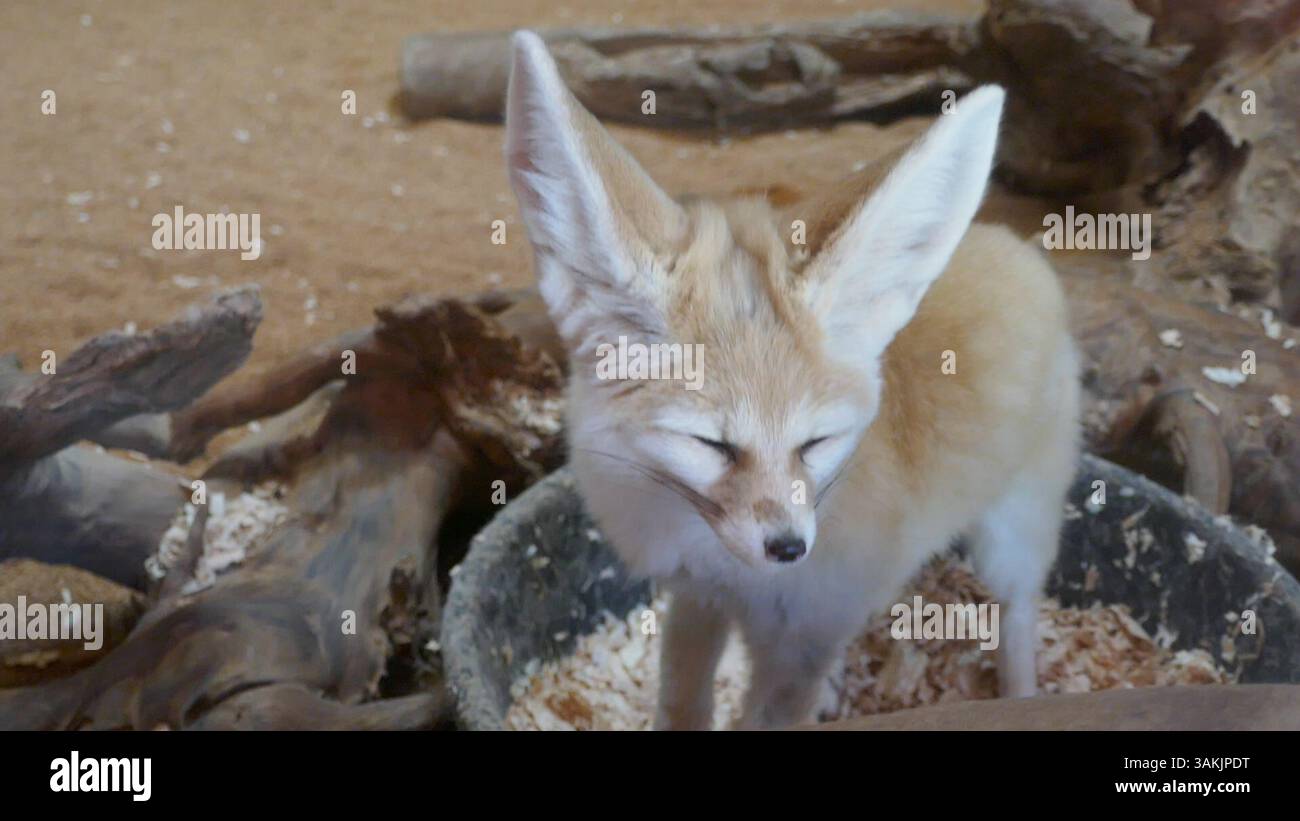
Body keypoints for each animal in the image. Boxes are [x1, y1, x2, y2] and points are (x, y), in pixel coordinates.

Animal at [503, 30, 1080, 729]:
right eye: (711, 445)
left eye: (817, 443)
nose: (788, 549)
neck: (724, 566)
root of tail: (1015, 244)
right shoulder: (700, 601)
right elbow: (682, 701)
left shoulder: (803, 637)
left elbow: (768, 713)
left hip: (1009, 541)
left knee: (1019, 611)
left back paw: (1021, 693)